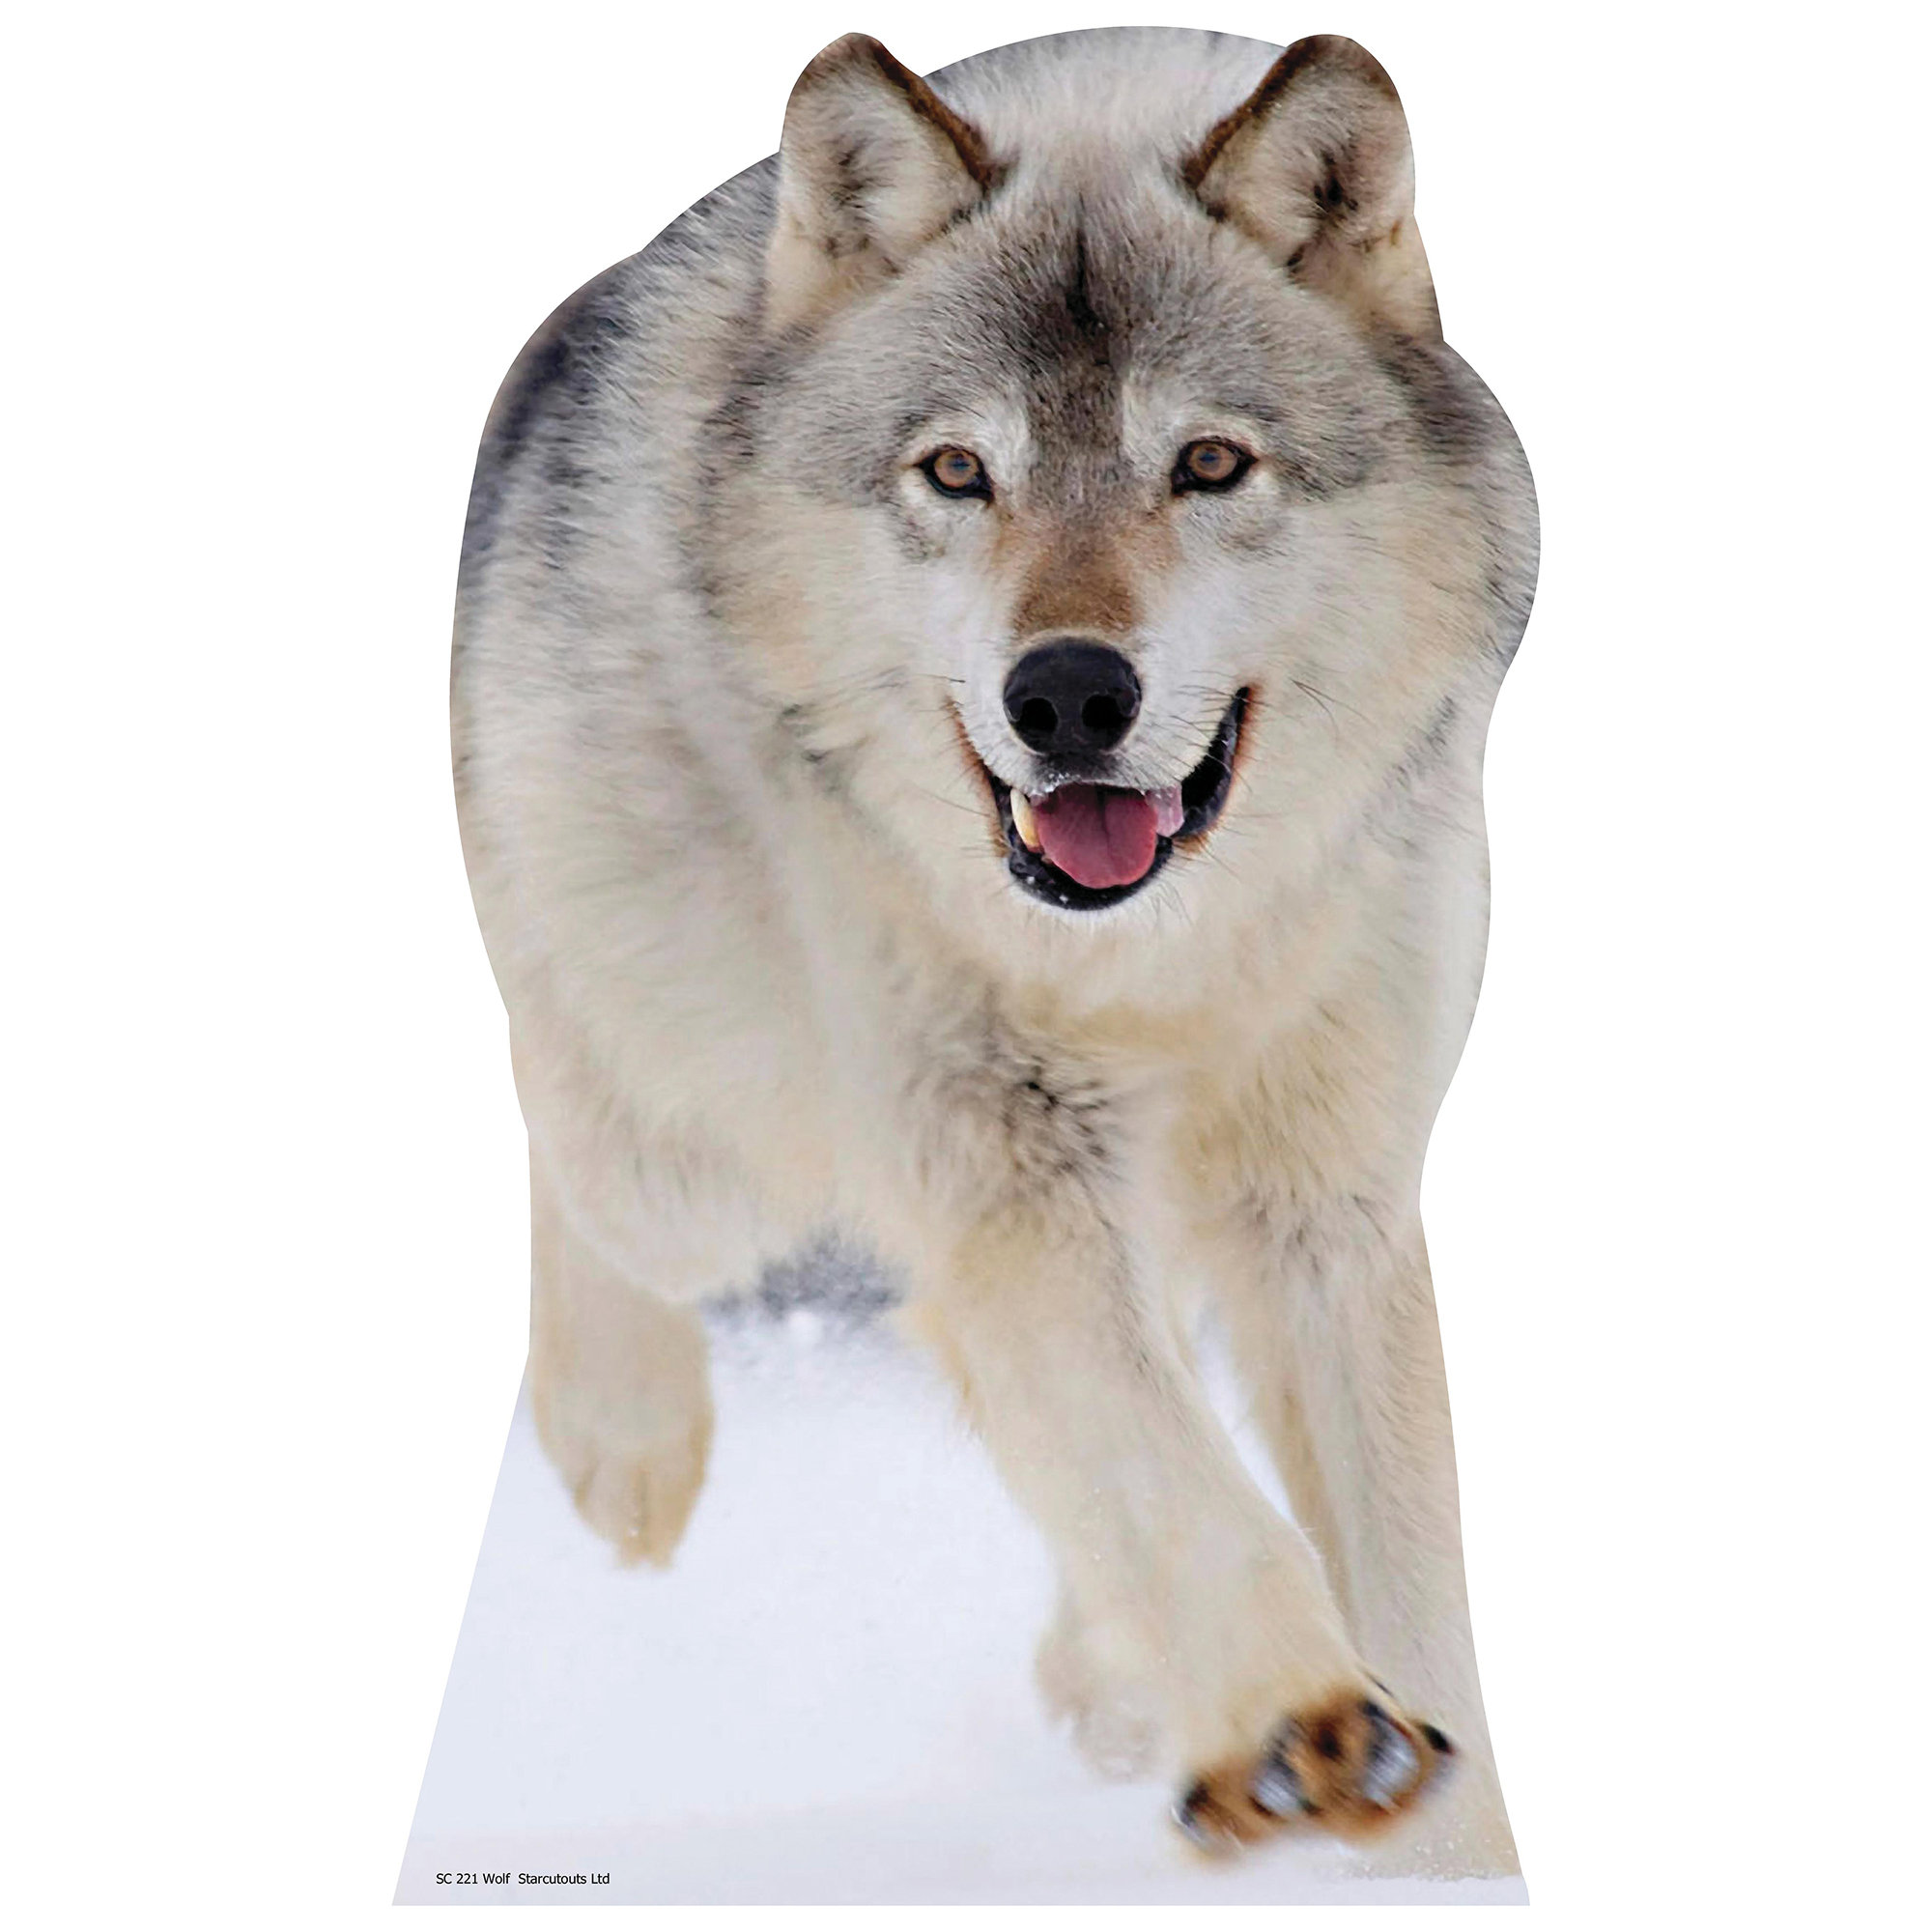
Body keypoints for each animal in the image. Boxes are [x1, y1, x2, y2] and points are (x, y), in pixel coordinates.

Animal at [452, 25, 1537, 1875]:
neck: (1156, 959)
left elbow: (1401, 1588)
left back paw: (1115, 1686)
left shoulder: (1328, 1204)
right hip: (702, 1153)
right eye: (958, 472)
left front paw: (1434, 1846)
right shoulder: (1000, 1164)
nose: (1071, 695)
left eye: (1210, 465)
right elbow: (1174, 1479)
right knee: (569, 1131)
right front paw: (1301, 1724)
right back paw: (625, 1447)